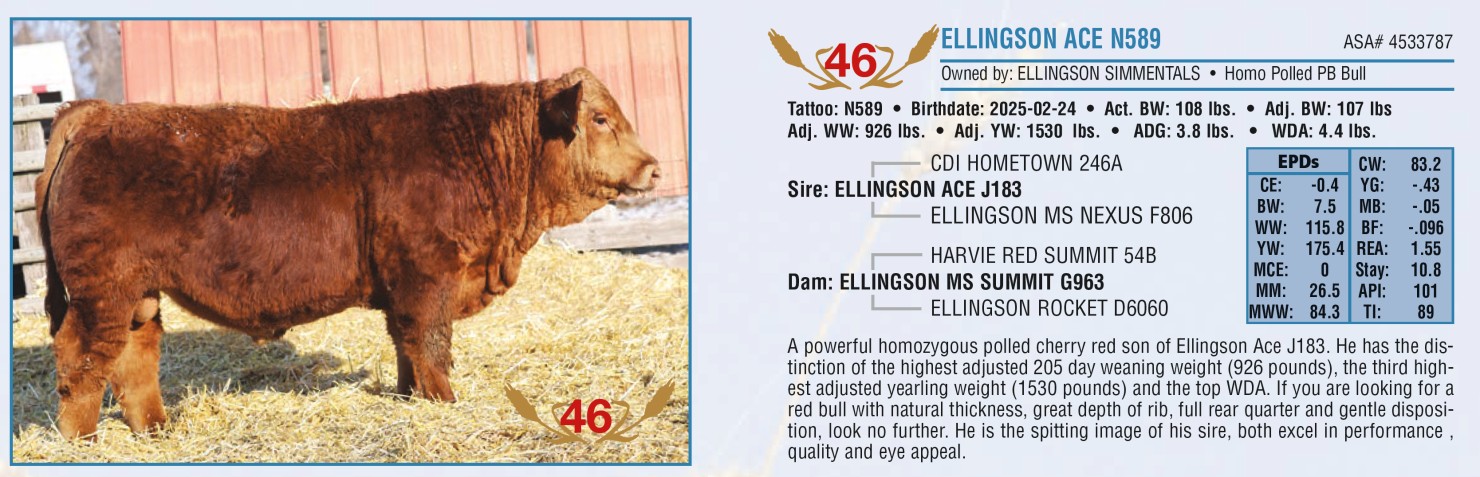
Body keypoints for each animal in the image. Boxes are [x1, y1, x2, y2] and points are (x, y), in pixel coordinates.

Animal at [35, 67, 662, 439]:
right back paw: (81, 439)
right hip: (101, 293)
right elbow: (431, 345)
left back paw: (157, 431)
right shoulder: (427, 278)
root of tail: (99, 112)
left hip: (138, 295)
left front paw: (413, 400)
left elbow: (407, 347)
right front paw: (446, 403)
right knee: (82, 358)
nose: (654, 167)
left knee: (133, 360)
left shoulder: (405, 289)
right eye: (600, 118)